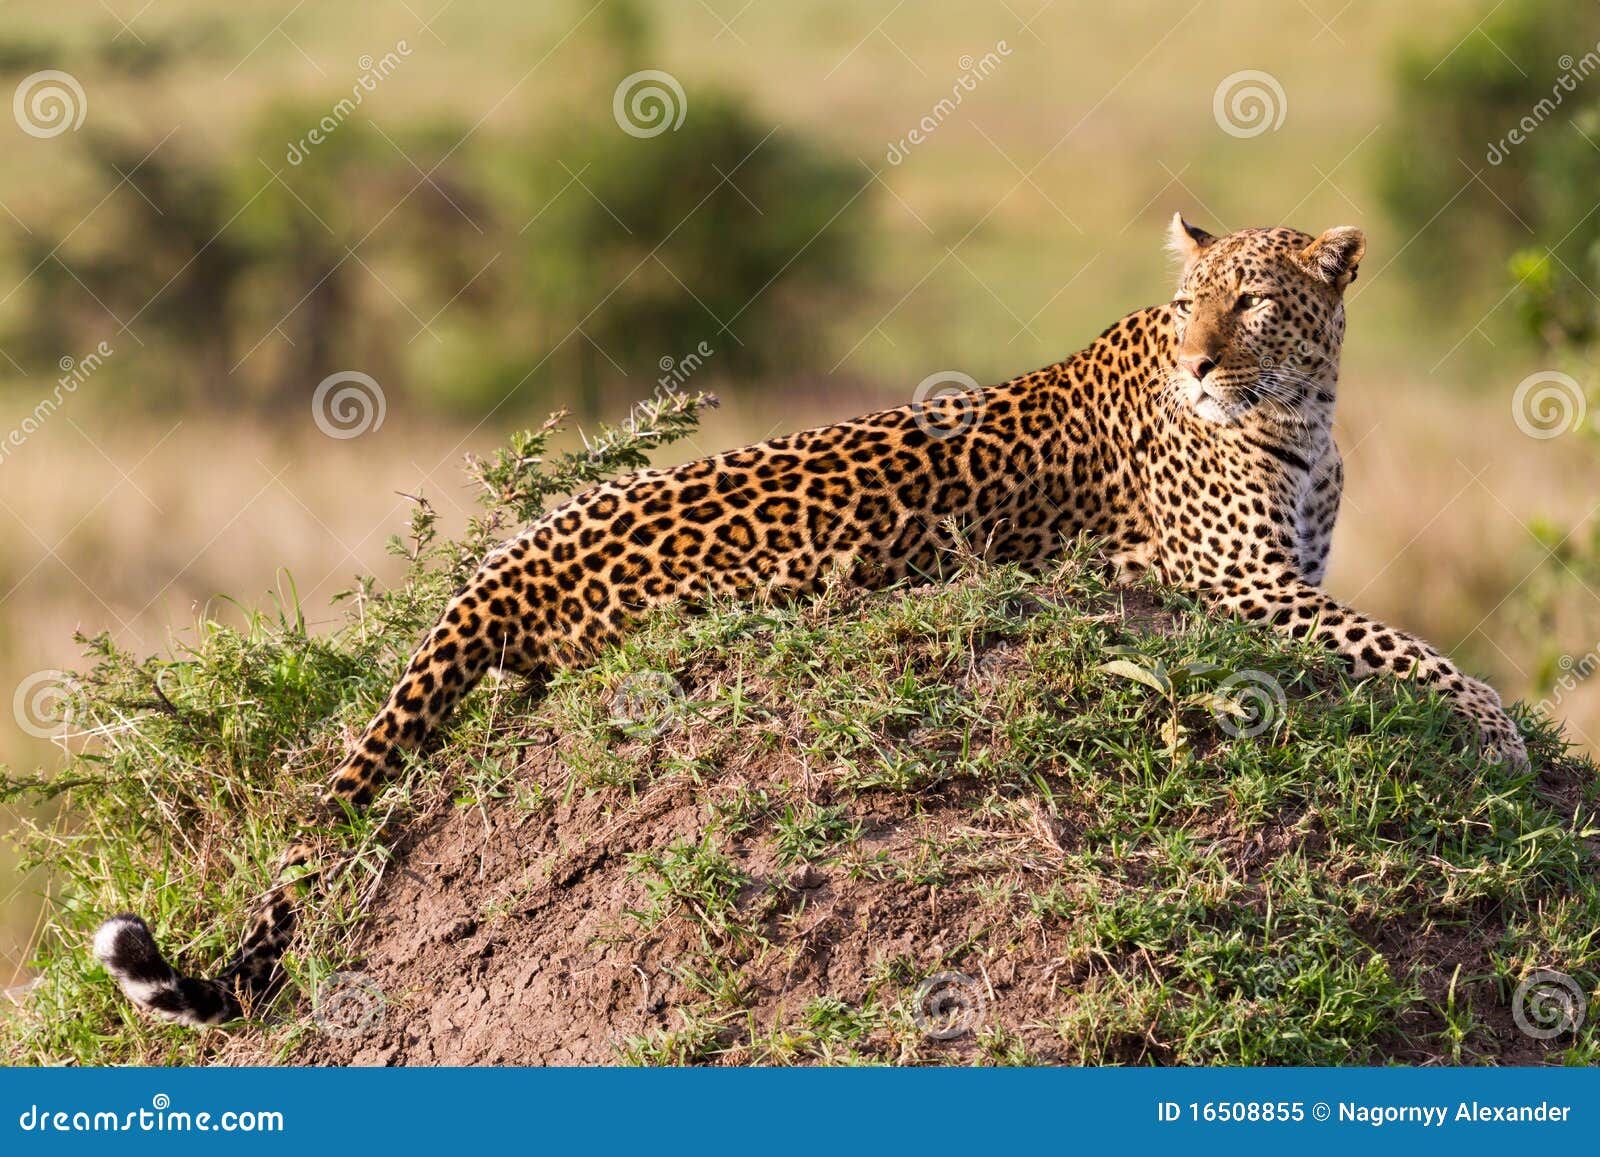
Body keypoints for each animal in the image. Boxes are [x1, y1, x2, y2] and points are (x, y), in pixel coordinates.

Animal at [94, 214, 1528, 1027]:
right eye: (1192, 305)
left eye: (1255, 303)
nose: (1201, 362)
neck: (1304, 409)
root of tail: (506, 561)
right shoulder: (1238, 583)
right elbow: (1410, 647)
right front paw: (1504, 732)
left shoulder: (1282, 571)